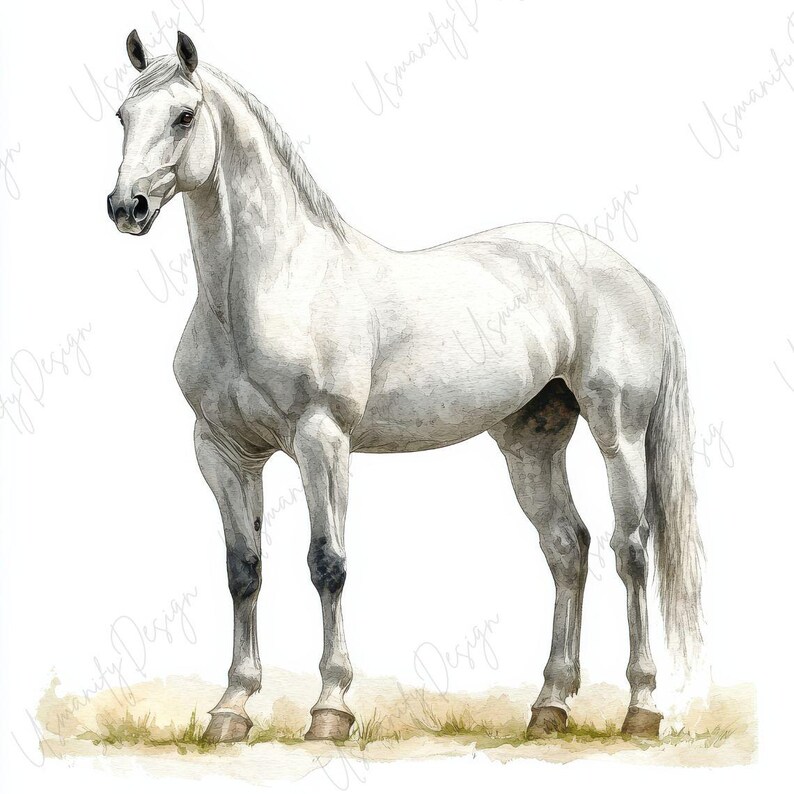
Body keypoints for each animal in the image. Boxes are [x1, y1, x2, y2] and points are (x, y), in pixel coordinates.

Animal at [107, 30, 704, 744]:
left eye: (185, 115)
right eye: (122, 115)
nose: (126, 207)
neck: (269, 284)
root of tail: (633, 274)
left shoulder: (322, 440)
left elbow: (327, 564)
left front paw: (330, 708)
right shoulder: (222, 451)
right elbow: (243, 570)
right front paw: (231, 708)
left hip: (619, 434)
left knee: (631, 549)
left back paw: (642, 707)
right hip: (531, 443)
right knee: (567, 548)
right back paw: (550, 706)